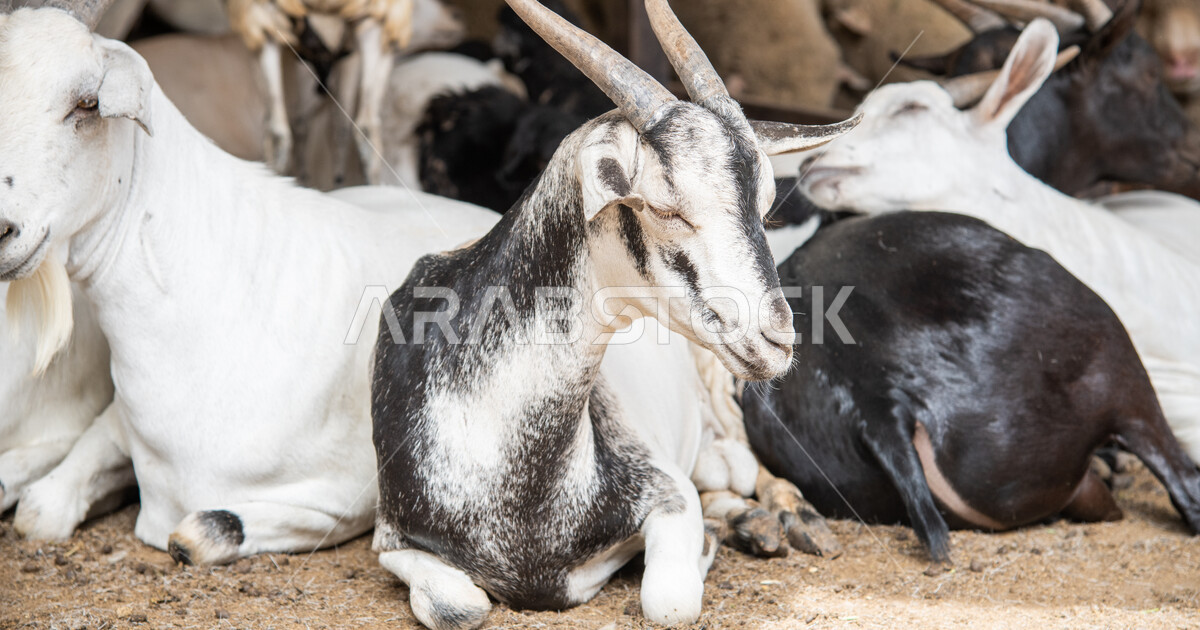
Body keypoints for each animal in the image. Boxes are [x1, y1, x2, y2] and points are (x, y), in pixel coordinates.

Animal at [0, 7, 500, 565]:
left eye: (87, 103)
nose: (0, 230)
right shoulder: (115, 427)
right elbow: (38, 511)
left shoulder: (339, 504)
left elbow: (197, 533)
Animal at [369, 0, 861, 627]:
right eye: (663, 207)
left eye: (766, 202)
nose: (775, 337)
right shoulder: (391, 538)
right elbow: (459, 606)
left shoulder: (667, 489)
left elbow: (668, 599)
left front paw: (711, 540)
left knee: (746, 463)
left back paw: (788, 518)